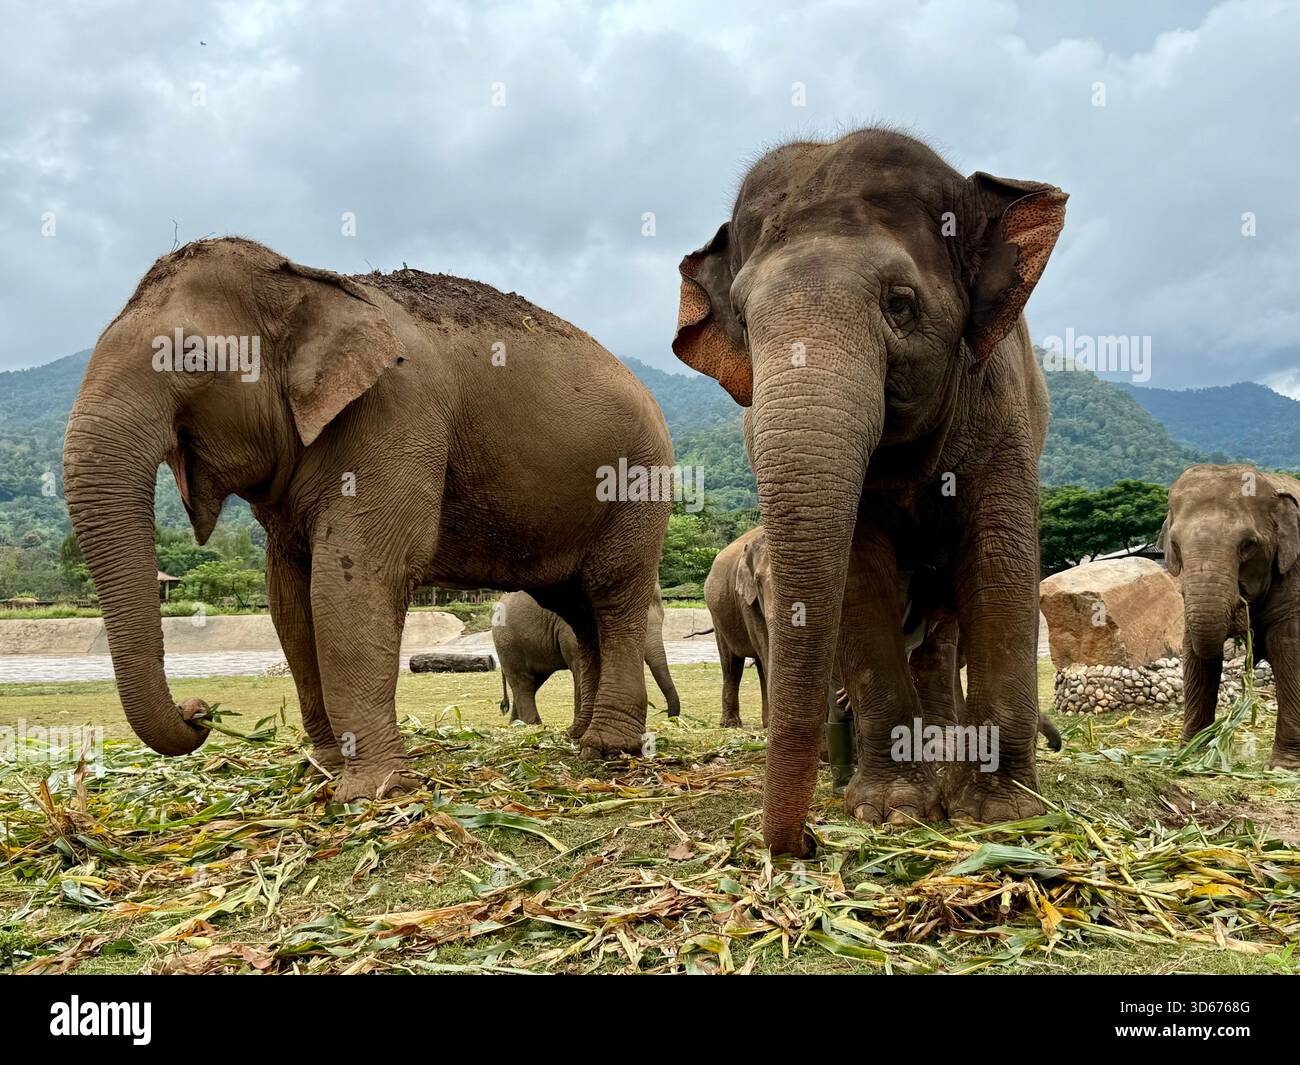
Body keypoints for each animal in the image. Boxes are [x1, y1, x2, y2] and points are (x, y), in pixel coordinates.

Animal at [493, 587, 680, 725]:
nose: (669, 718)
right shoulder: (571, 628)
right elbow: (580, 668)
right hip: (507, 642)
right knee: (523, 680)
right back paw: (534, 724)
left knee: (533, 681)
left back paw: (517, 724)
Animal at [673, 127, 1067, 853]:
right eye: (742, 318)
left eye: (900, 305)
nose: (800, 843)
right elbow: (858, 574)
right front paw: (888, 810)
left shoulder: (1001, 405)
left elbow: (998, 561)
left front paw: (1000, 815)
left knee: (940, 640)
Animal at [1160, 464, 1300, 769]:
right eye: (1175, 544)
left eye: (1248, 545)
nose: (1240, 611)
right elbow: (1195, 651)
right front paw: (1191, 755)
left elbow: (1288, 649)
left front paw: (1282, 766)